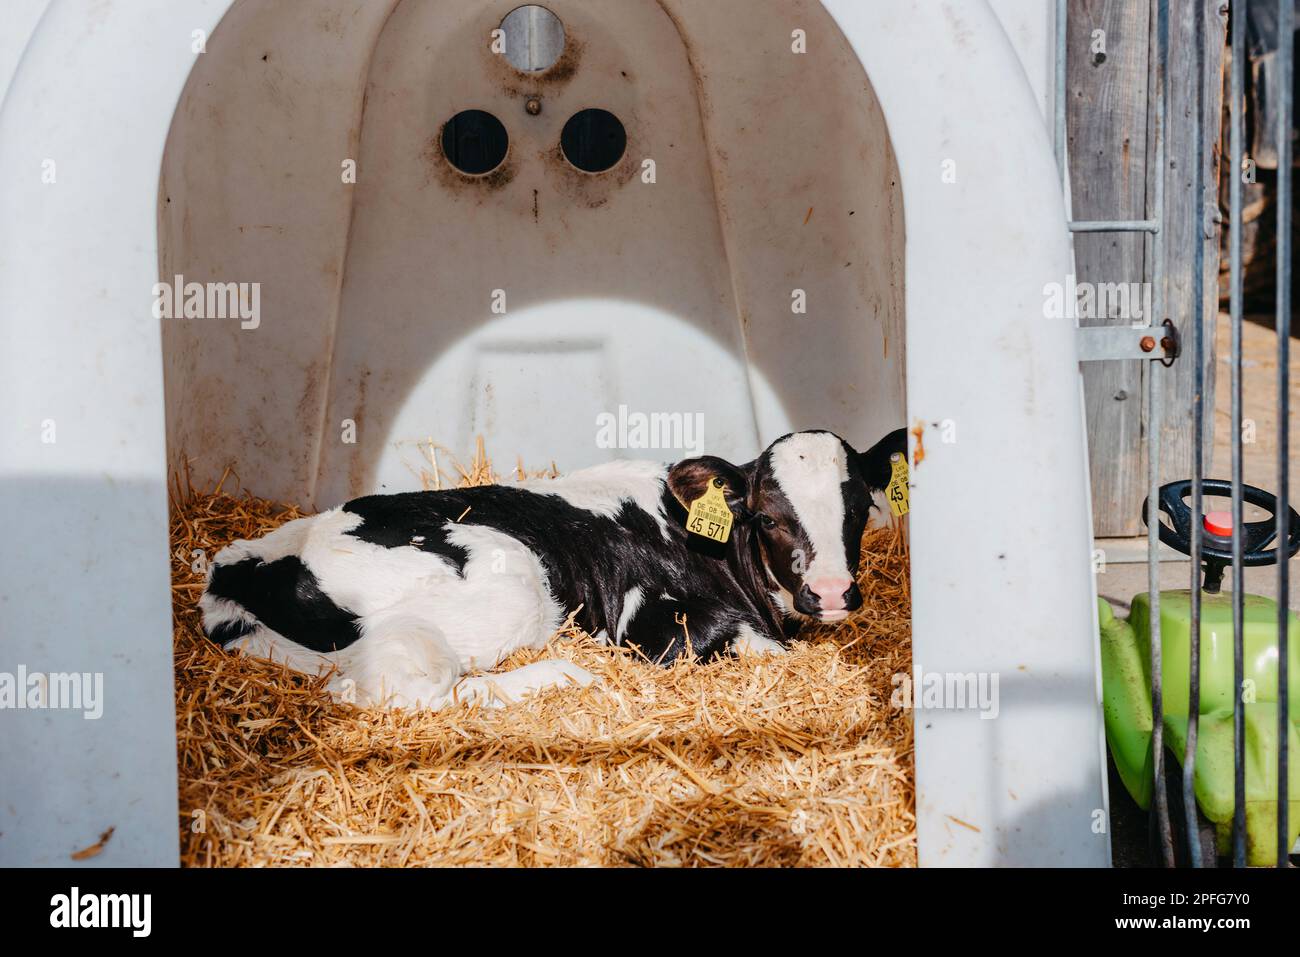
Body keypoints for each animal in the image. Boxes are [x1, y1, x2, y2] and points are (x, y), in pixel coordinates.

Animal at [200, 428, 907, 709]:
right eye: (766, 517)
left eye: (858, 507)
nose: (831, 591)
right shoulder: (646, 618)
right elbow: (752, 645)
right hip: (510, 582)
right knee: (410, 689)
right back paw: (567, 675)